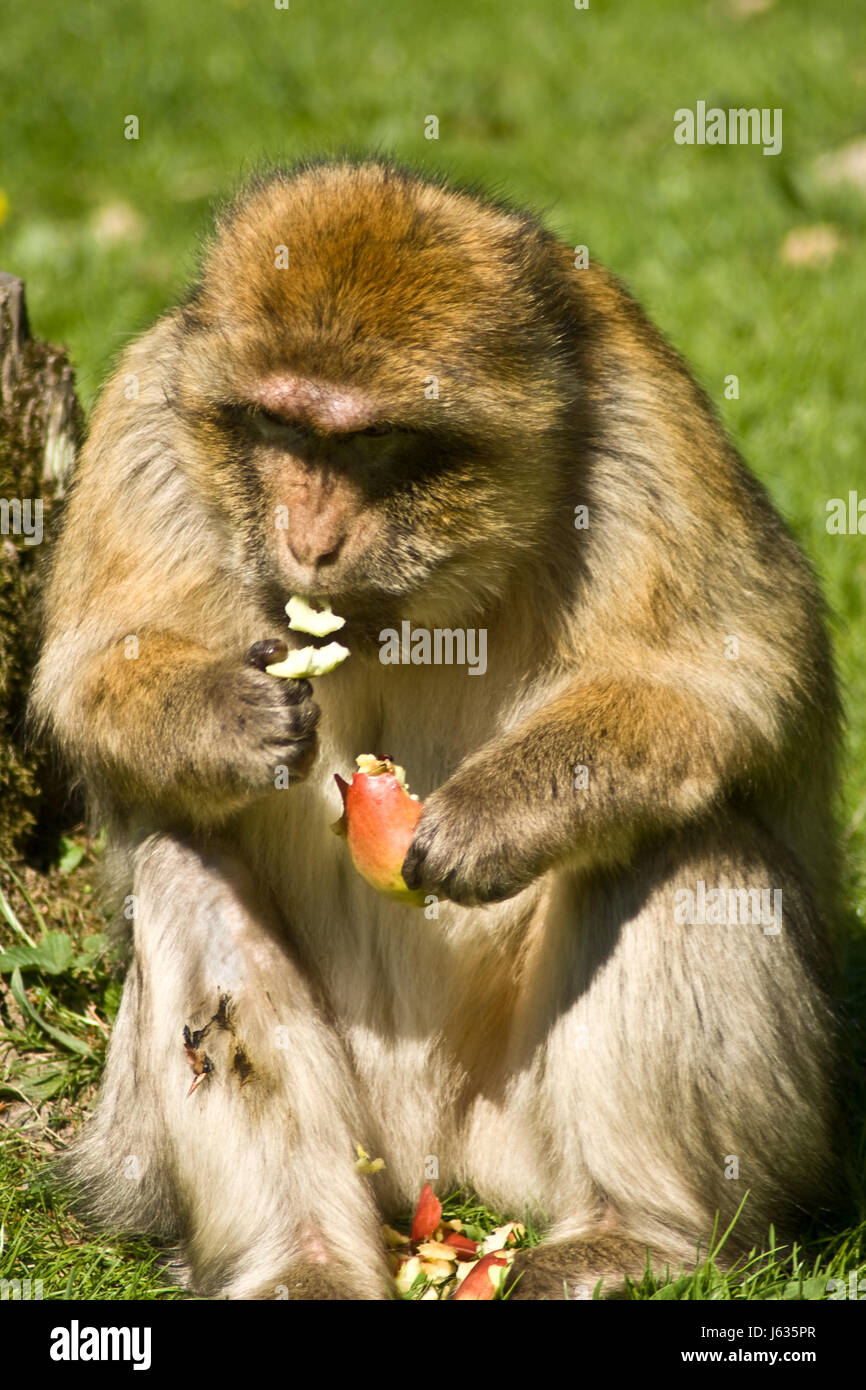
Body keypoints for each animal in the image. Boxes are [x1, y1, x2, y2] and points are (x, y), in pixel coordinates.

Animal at [30, 158, 847, 1300]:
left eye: (370, 438)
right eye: (282, 427)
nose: (308, 536)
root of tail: (428, 1172)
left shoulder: (645, 432)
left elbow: (719, 683)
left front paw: (497, 812)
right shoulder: (146, 419)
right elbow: (89, 668)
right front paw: (230, 718)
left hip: (528, 1136)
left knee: (686, 844)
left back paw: (637, 1232)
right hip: (200, 1145)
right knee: (181, 865)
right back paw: (303, 1257)